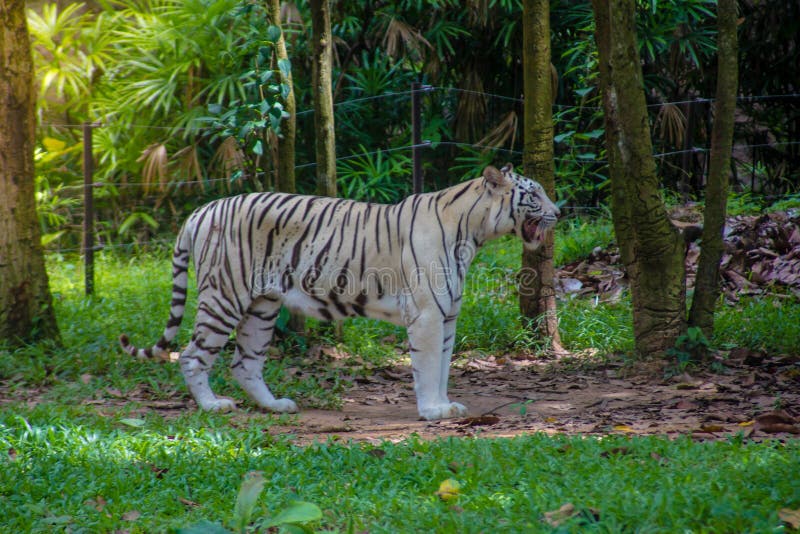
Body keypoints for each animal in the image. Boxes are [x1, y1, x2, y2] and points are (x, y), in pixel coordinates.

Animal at [119, 164, 559, 420]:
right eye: (534, 194)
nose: (560, 211)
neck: (474, 234)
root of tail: (202, 209)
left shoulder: (447, 314)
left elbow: (443, 367)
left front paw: (445, 404)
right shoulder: (427, 315)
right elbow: (427, 365)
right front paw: (432, 411)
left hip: (263, 306)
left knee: (244, 363)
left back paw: (275, 405)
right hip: (223, 298)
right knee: (192, 355)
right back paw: (213, 405)